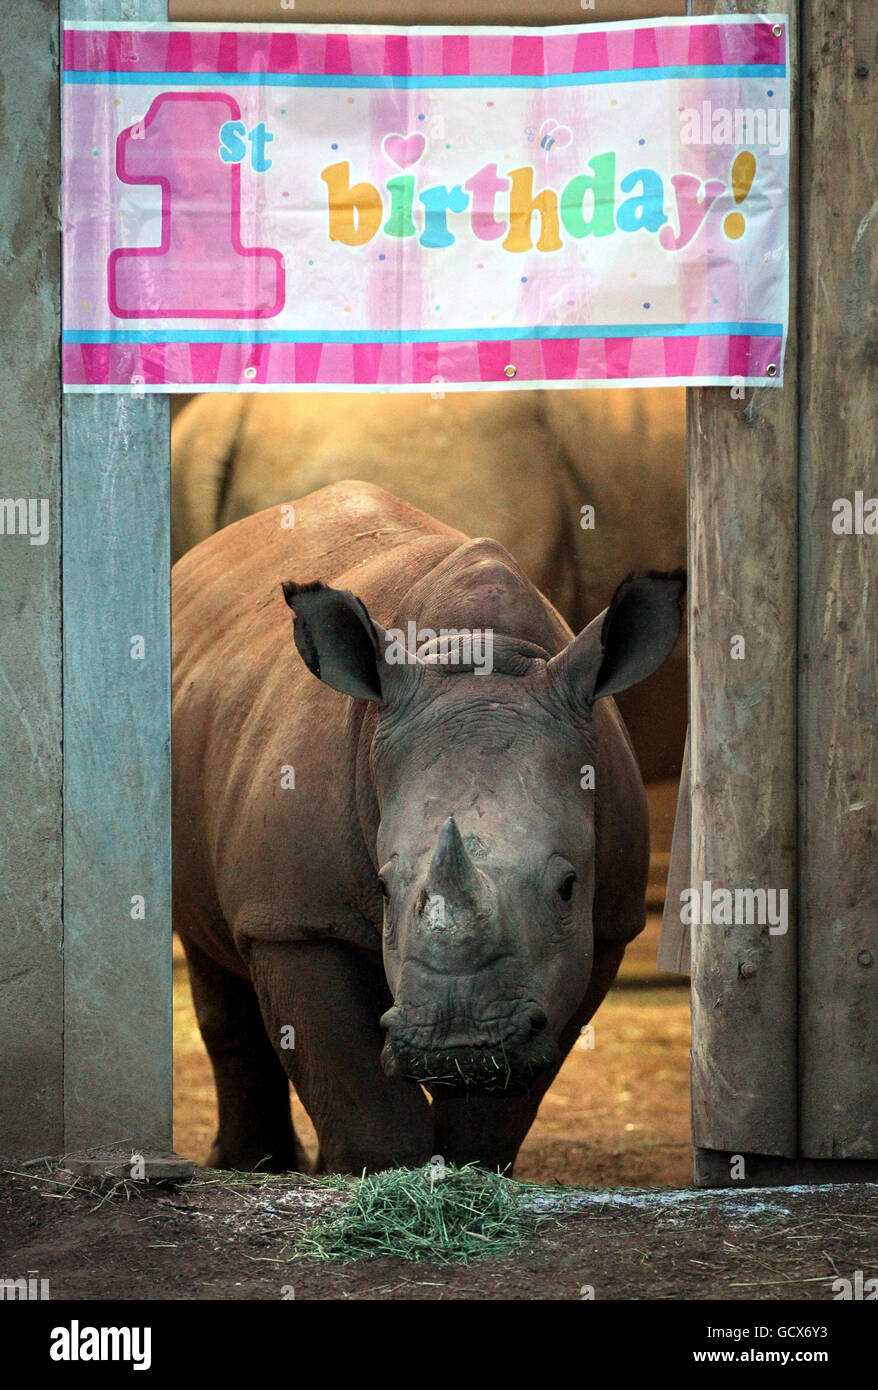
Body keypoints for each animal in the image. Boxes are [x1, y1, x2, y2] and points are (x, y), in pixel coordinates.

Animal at [172, 481, 684, 1174]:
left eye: (568, 888)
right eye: (385, 889)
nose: (456, 1038)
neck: (482, 651)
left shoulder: (604, 927)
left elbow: (495, 1117)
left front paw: (468, 1171)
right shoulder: (295, 917)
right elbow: (366, 1110)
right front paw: (374, 1178)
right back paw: (254, 1167)